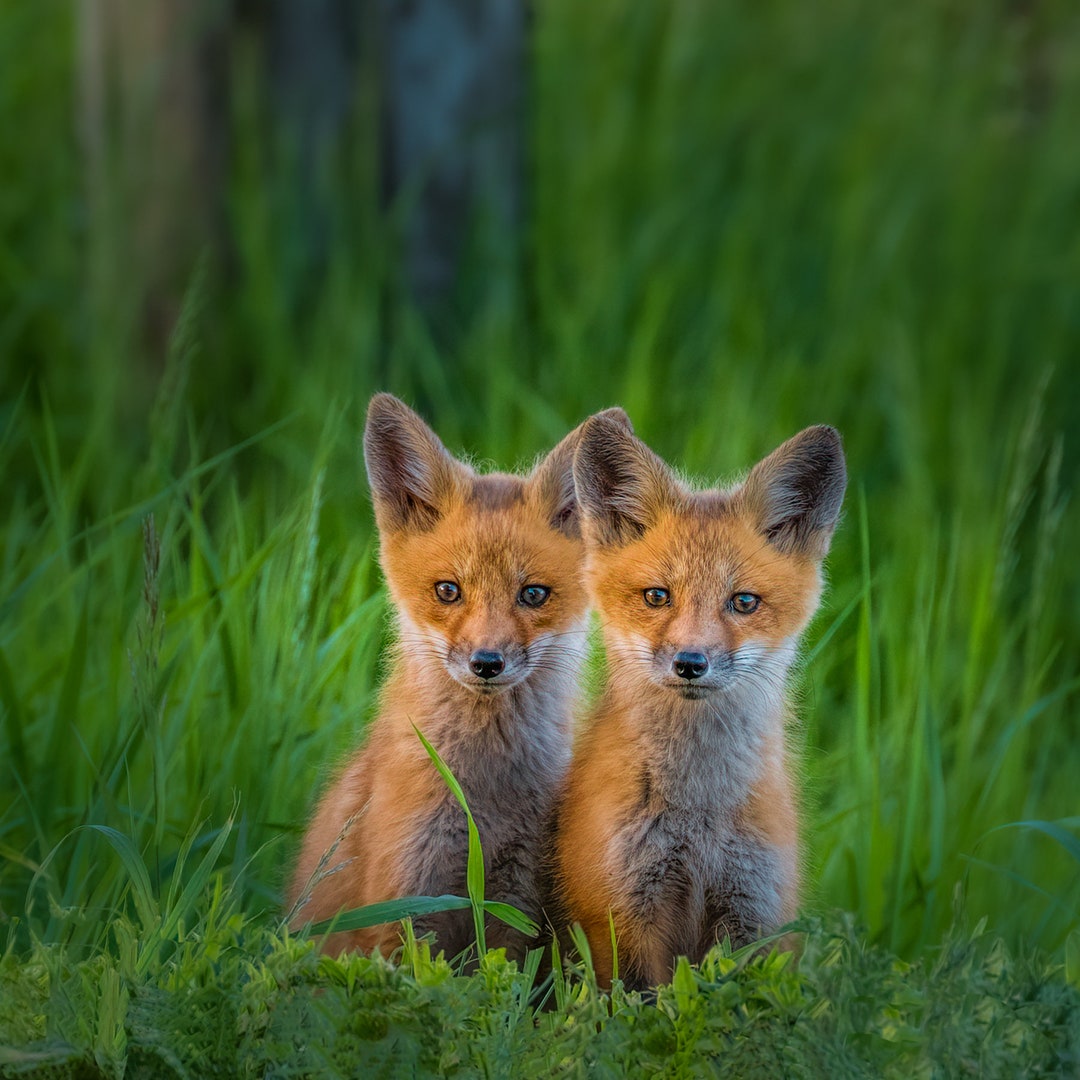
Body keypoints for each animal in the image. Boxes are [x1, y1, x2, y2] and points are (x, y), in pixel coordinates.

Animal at [288, 393, 628, 962]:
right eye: (448, 591)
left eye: (533, 594)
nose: (486, 662)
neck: (482, 800)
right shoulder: (405, 900)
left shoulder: (521, 901)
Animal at [553, 415, 846, 989]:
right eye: (657, 596)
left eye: (744, 602)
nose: (691, 662)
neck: (698, 816)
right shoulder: (622, 915)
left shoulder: (755, 912)